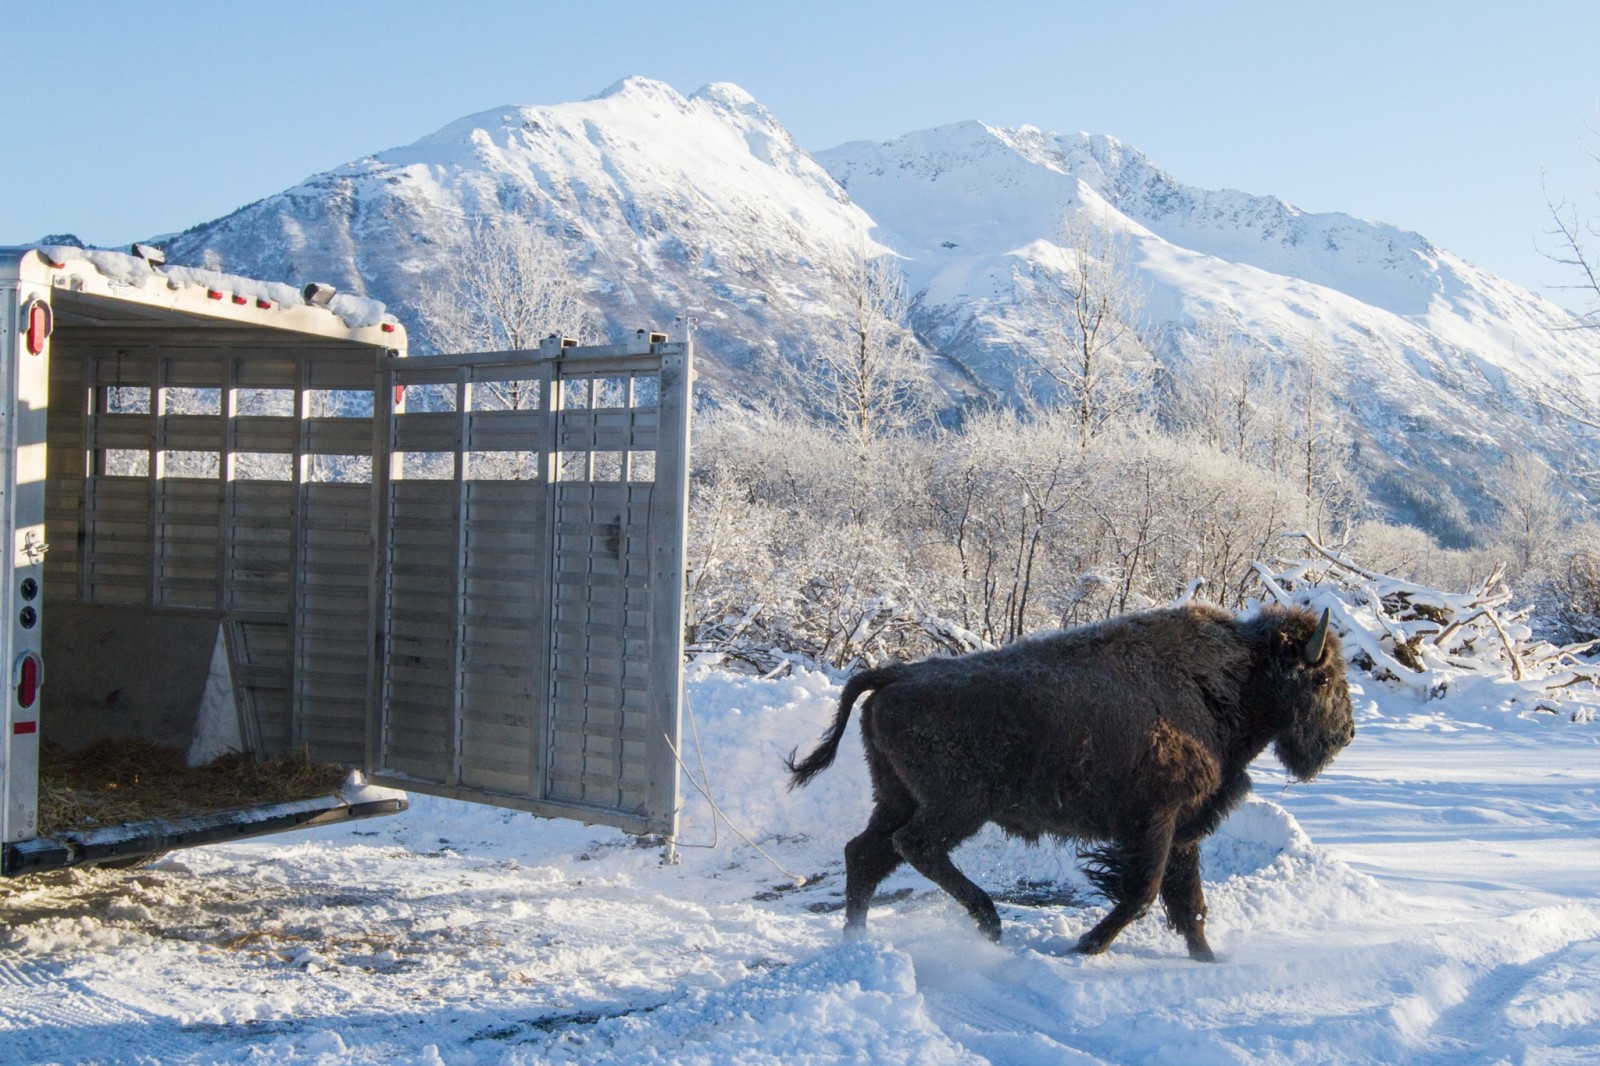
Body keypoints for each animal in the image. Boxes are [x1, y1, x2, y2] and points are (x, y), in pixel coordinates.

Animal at [786, 602, 1354, 961]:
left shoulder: (1183, 829)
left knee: (865, 854)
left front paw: (1209, 960)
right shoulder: (1155, 823)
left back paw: (857, 940)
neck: (1236, 678)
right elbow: (1144, 893)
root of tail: (896, 675)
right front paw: (1085, 945)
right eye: (1323, 678)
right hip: (957, 807)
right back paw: (989, 923)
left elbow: (1189, 904)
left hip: (897, 798)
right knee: (912, 847)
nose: (1346, 733)